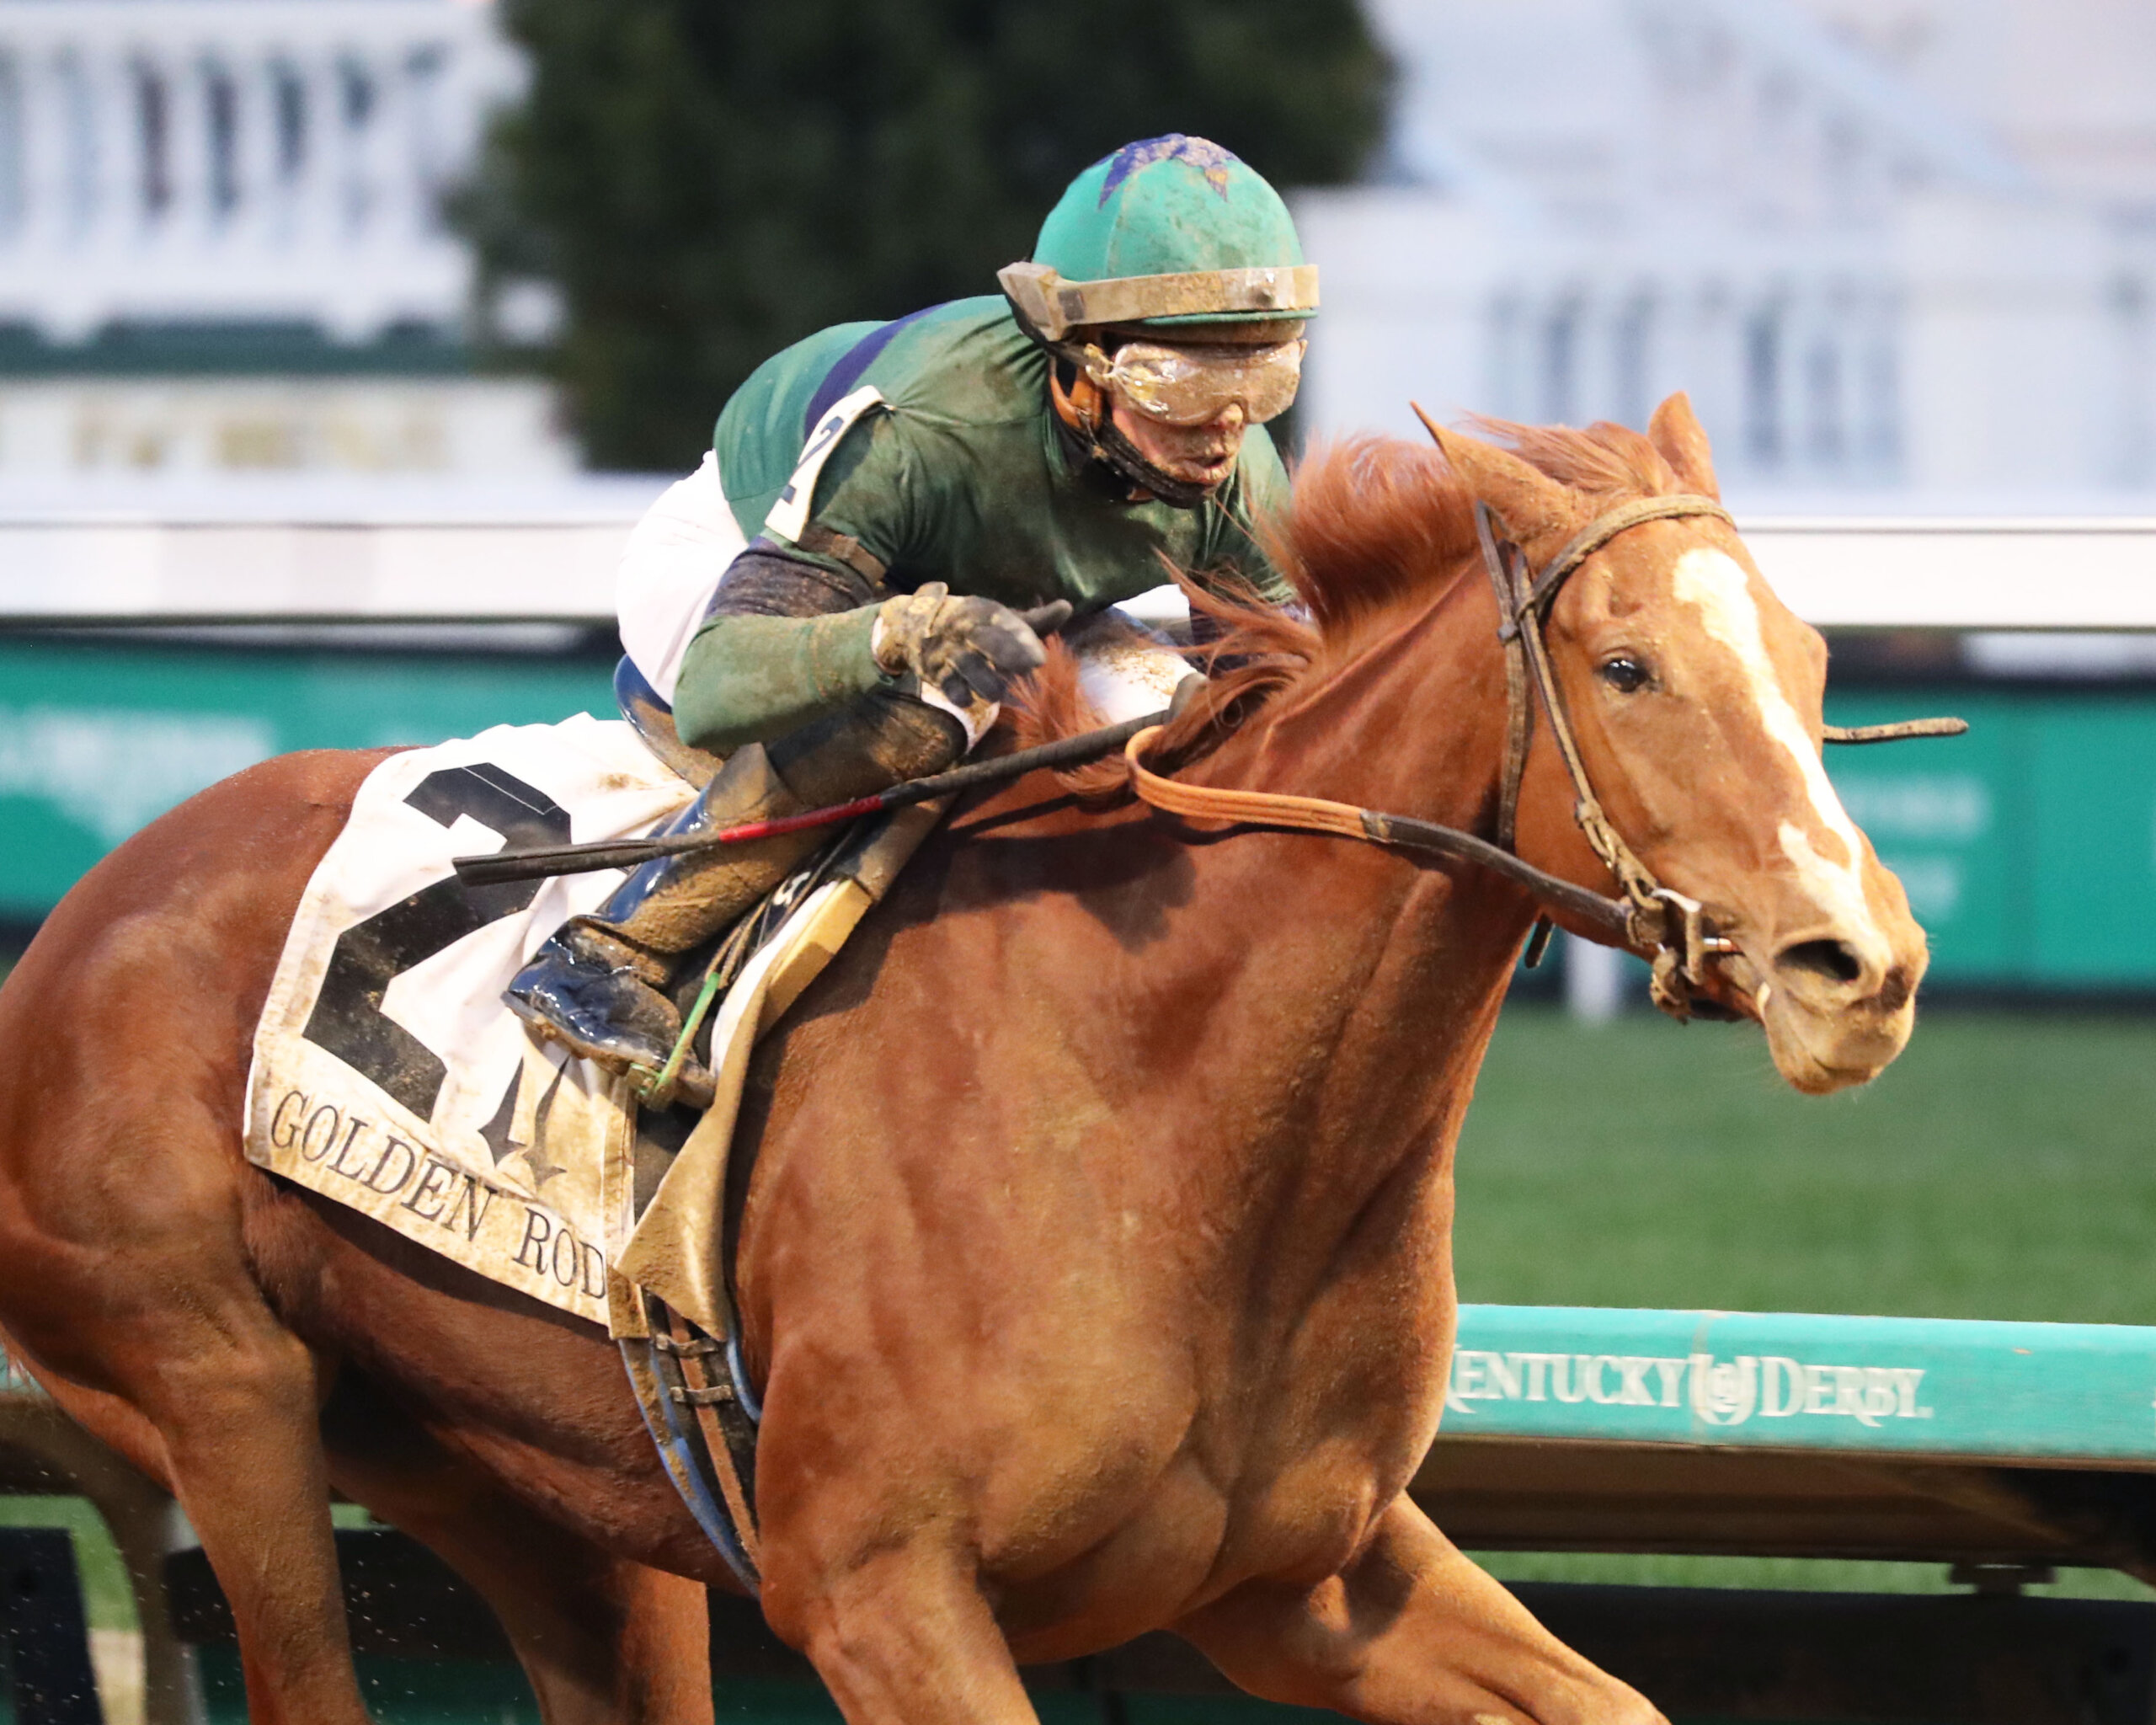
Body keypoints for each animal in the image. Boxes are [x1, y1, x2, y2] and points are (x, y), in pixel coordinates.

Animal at [0, 394, 1925, 1725]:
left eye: (1813, 657)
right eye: (1627, 664)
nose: (1865, 967)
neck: (1172, 1106)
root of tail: (84, 913)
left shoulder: (1300, 1575)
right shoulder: (876, 1588)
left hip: (522, 1478)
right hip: (221, 1385)